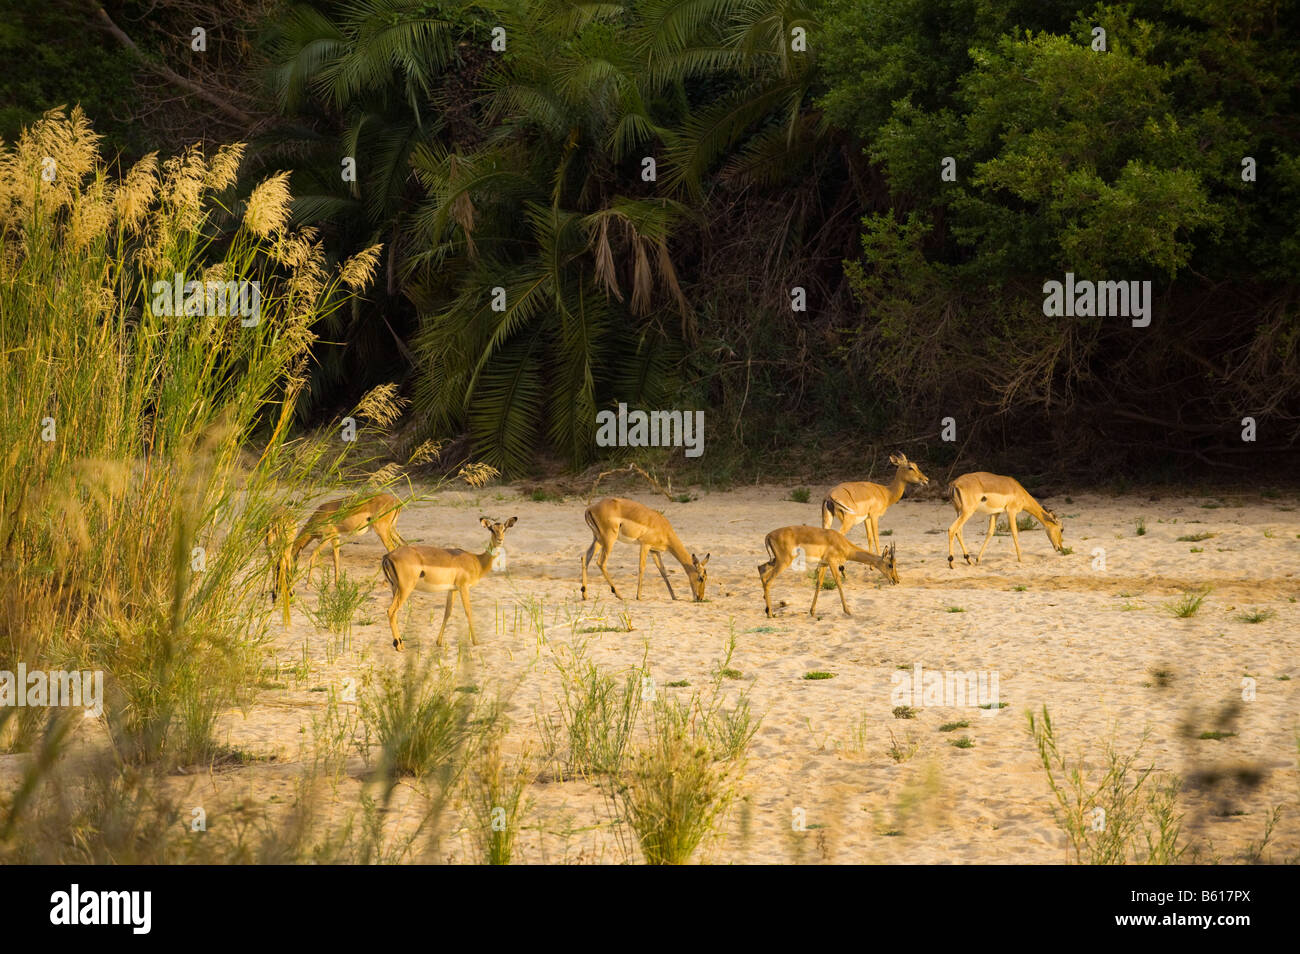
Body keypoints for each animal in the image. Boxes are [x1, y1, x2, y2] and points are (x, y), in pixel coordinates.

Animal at [381, 516, 517, 652]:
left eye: (504, 528)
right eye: (491, 529)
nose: (500, 540)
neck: (477, 561)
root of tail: (388, 556)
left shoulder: (453, 589)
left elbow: (447, 612)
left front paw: (438, 642)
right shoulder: (463, 587)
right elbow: (468, 611)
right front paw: (476, 642)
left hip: (395, 588)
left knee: (395, 613)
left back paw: (400, 643)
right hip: (405, 589)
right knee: (391, 611)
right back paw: (399, 646)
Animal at [580, 497, 709, 602]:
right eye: (701, 578)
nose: (700, 598)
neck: (663, 527)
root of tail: (591, 508)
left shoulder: (654, 550)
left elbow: (663, 571)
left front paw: (674, 597)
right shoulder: (645, 545)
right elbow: (642, 568)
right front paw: (639, 596)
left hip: (598, 540)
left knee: (585, 557)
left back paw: (585, 595)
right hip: (609, 540)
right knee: (601, 562)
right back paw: (619, 595)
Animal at [758, 526, 899, 617]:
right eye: (890, 564)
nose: (896, 580)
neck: (843, 544)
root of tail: (769, 535)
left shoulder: (823, 564)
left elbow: (818, 584)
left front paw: (812, 611)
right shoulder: (832, 562)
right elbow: (839, 583)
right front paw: (848, 611)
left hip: (776, 561)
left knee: (761, 569)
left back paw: (767, 610)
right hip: (784, 562)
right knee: (768, 581)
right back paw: (770, 614)